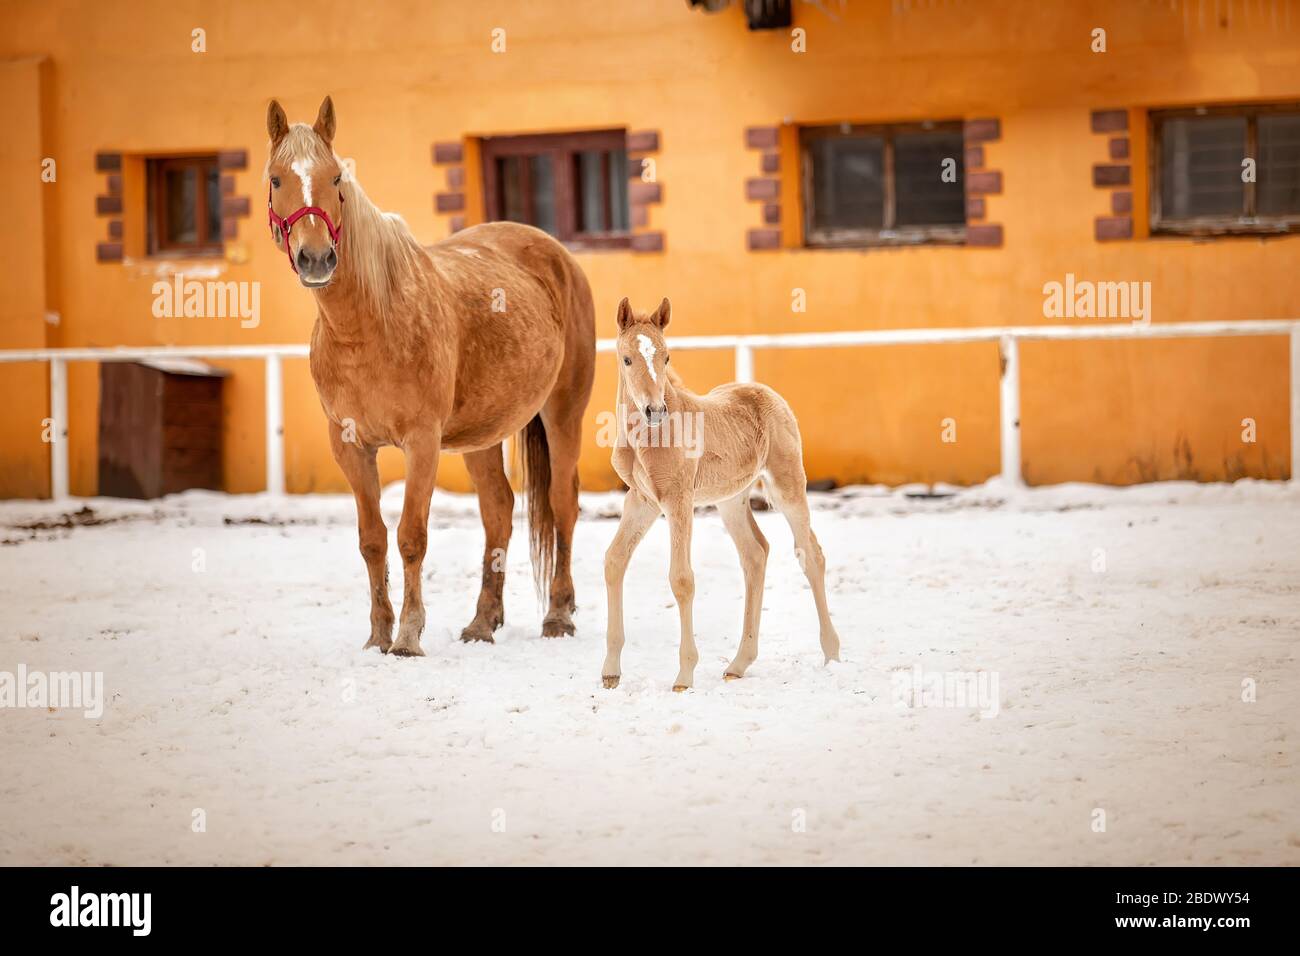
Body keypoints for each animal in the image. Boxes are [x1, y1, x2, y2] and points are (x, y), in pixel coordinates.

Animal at [264, 96, 595, 656]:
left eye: (336, 178)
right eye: (275, 179)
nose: (316, 258)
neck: (368, 324)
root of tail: (556, 255)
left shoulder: (422, 442)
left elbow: (410, 536)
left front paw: (408, 637)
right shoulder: (349, 445)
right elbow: (372, 539)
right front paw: (377, 635)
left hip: (563, 412)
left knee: (562, 505)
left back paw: (557, 616)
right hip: (484, 432)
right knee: (499, 509)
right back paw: (482, 623)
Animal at [601, 297, 841, 691]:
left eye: (666, 357)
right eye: (627, 359)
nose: (655, 410)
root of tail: (766, 390)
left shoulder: (678, 500)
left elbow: (681, 579)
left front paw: (684, 676)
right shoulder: (643, 500)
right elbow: (614, 561)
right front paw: (610, 672)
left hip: (787, 483)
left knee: (811, 554)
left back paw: (832, 653)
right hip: (731, 499)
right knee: (755, 554)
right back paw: (739, 664)